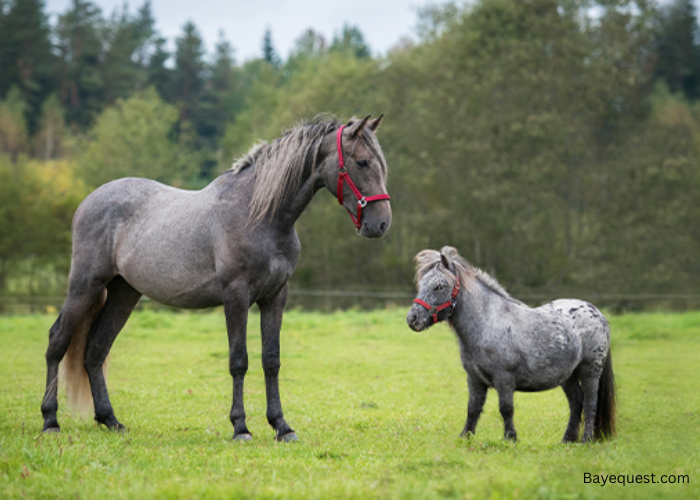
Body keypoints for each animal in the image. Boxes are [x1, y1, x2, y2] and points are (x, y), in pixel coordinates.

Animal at [41, 115, 392, 442]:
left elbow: (271, 360)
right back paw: (50, 420)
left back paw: (110, 420)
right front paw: (240, 427)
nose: (381, 224)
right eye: (362, 162)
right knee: (58, 340)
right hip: (85, 285)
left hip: (123, 293)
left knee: (96, 349)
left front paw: (281, 426)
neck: (260, 214)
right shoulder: (236, 295)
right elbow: (239, 360)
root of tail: (89, 200)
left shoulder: (276, 296)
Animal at [406, 246, 615, 443]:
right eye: (421, 284)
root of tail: (597, 312)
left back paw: (586, 439)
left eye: (439, 286)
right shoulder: (474, 379)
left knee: (590, 403)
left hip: (590, 371)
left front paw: (510, 438)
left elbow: (506, 408)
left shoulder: (504, 379)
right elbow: (472, 409)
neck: (488, 324)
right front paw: (465, 437)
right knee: (576, 402)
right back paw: (567, 440)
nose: (412, 319)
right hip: (568, 376)